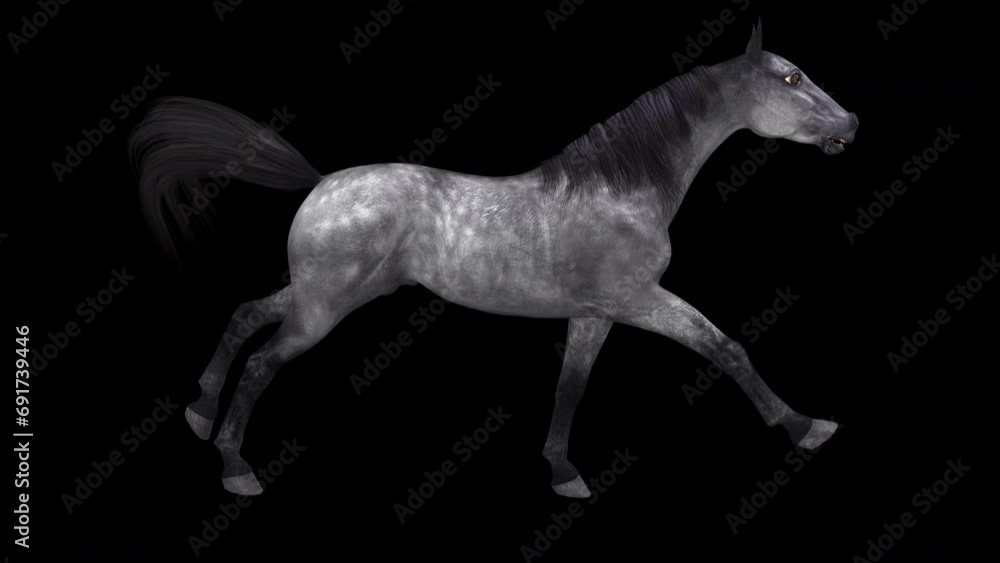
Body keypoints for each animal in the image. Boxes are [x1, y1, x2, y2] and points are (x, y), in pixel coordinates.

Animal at [129, 21, 858, 498]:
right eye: (791, 77)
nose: (851, 125)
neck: (619, 188)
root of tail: (322, 183)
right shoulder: (637, 300)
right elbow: (725, 345)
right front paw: (807, 426)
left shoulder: (595, 314)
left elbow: (570, 387)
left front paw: (563, 473)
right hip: (323, 308)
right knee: (260, 362)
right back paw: (235, 468)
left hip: (322, 294)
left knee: (243, 313)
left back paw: (198, 411)